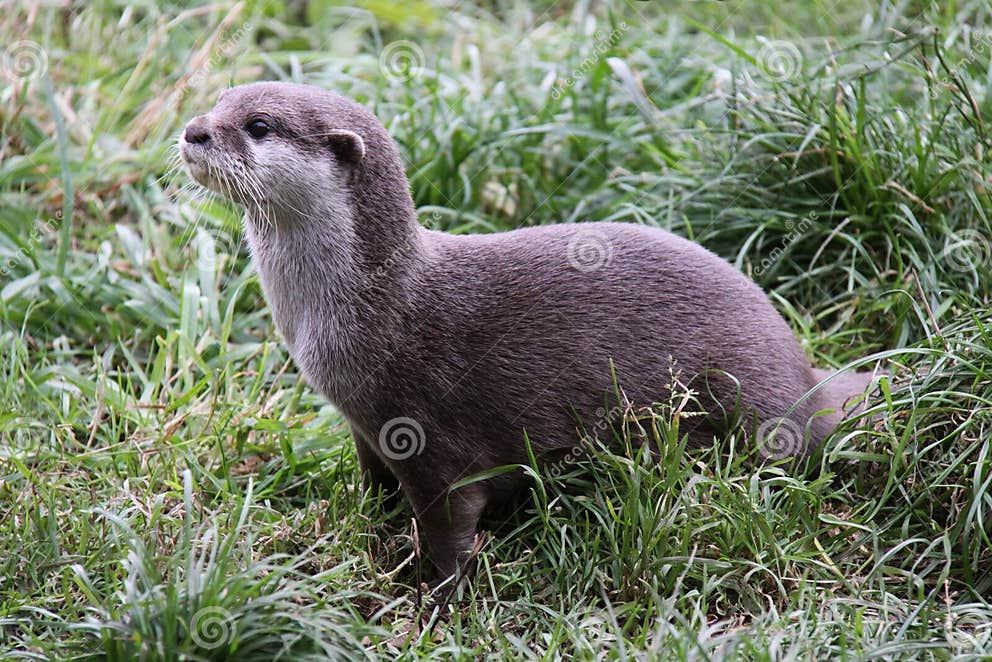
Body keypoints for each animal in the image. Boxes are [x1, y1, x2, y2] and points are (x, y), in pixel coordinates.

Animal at [179, 82, 875, 583]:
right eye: (219, 99)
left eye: (258, 124)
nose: (193, 130)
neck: (370, 306)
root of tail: (808, 385)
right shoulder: (365, 425)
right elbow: (374, 485)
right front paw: (361, 527)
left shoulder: (430, 433)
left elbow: (450, 528)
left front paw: (435, 595)